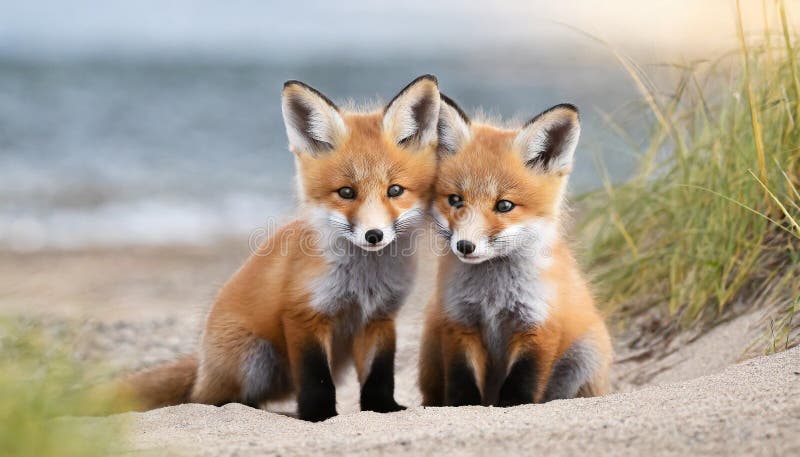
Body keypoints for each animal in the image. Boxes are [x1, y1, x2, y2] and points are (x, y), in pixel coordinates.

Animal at [122, 75, 441, 422]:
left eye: (395, 190)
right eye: (346, 192)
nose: (374, 235)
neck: (362, 282)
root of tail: (203, 363)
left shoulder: (380, 317)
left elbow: (379, 376)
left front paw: (384, 409)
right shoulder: (303, 314)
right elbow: (316, 379)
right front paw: (318, 416)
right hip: (254, 357)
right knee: (210, 399)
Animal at [418, 95, 612, 407]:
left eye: (504, 205)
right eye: (455, 200)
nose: (465, 246)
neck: (492, 294)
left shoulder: (537, 324)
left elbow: (522, 383)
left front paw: (512, 404)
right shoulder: (460, 323)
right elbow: (462, 383)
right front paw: (464, 405)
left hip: (586, 353)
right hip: (430, 344)